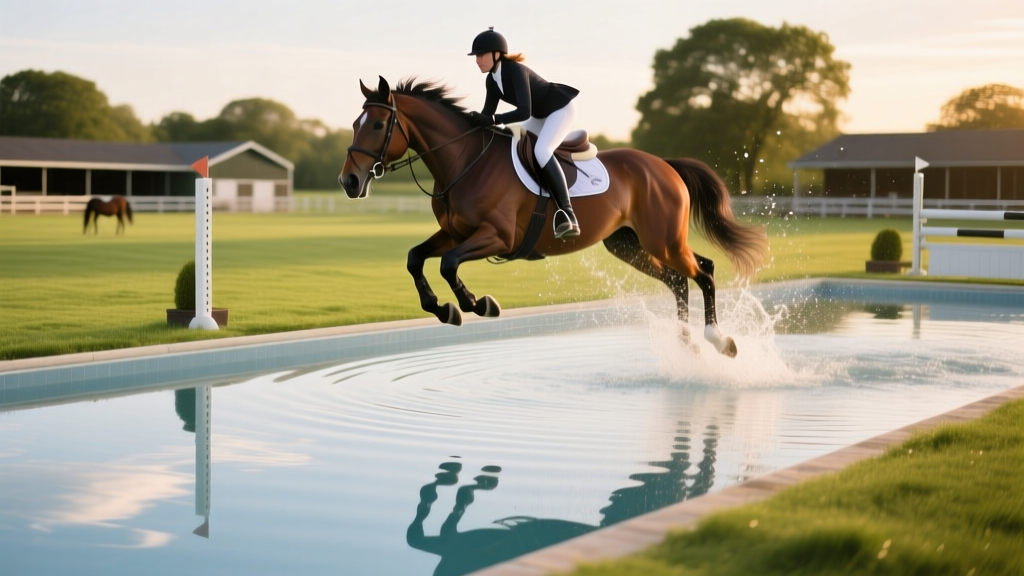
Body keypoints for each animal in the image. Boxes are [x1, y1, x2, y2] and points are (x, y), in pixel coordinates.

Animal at [339, 77, 768, 357]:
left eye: (377, 124)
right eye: (356, 124)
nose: (349, 181)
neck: (464, 162)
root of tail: (664, 165)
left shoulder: (496, 236)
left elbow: (447, 264)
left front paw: (478, 304)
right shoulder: (454, 232)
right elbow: (416, 258)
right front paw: (445, 309)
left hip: (663, 240)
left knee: (704, 271)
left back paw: (720, 341)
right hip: (627, 245)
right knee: (678, 281)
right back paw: (685, 345)